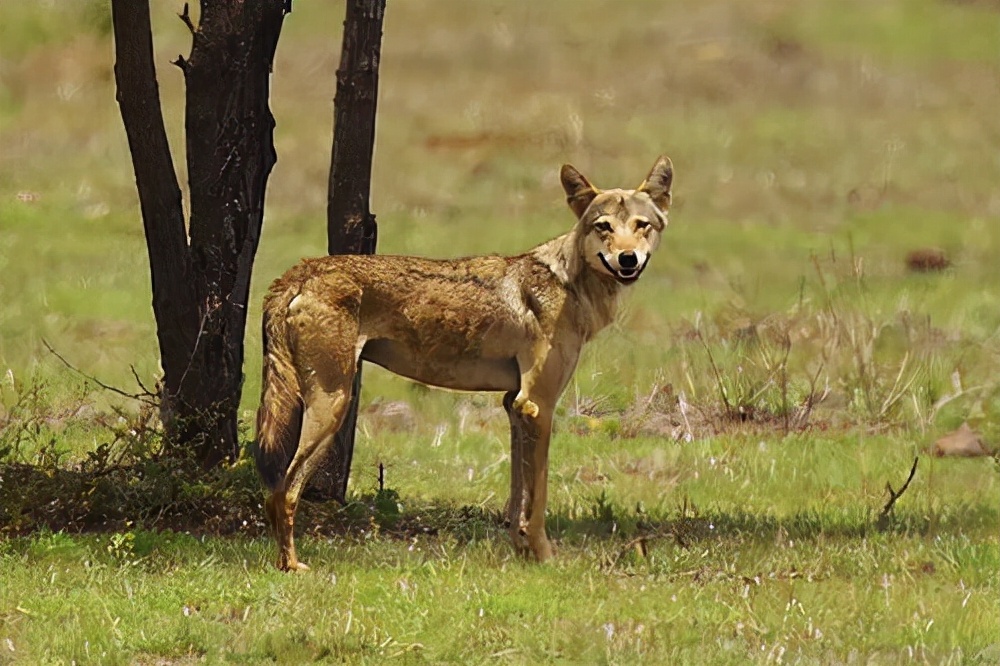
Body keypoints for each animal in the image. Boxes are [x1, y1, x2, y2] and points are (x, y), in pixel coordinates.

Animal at [255, 156, 673, 570]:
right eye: (604, 227)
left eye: (642, 225)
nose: (627, 259)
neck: (571, 283)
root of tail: (301, 270)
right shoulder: (539, 405)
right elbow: (537, 499)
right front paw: (546, 559)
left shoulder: (514, 405)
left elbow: (517, 500)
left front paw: (520, 552)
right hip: (333, 405)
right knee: (282, 492)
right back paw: (292, 567)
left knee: (272, 494)